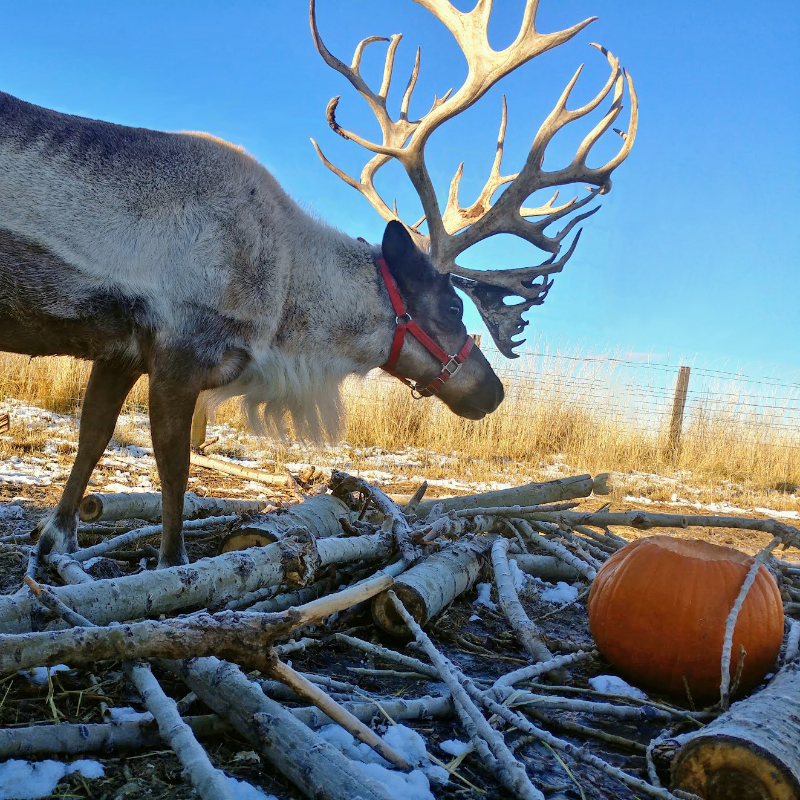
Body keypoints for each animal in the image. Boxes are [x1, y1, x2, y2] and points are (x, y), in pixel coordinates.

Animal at [0, 0, 636, 569]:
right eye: (453, 307)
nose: (494, 391)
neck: (286, 300)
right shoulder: (181, 354)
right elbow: (174, 471)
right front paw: (171, 564)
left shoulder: (120, 352)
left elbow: (92, 436)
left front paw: (54, 541)